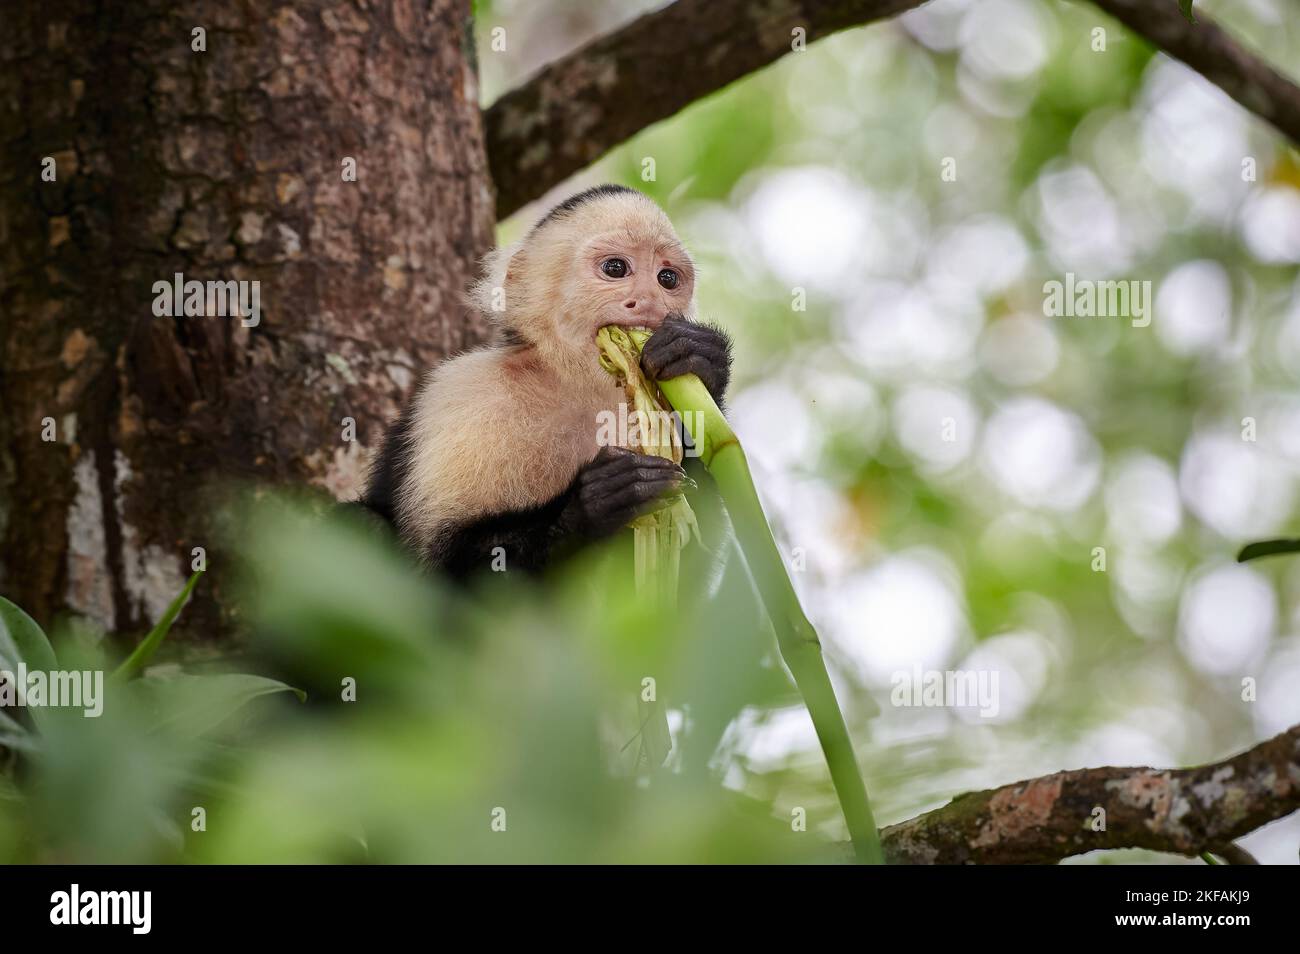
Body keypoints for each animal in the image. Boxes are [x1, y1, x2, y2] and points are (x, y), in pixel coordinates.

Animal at [354, 184, 733, 582]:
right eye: (616, 268)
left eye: (667, 279)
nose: (649, 302)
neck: (575, 383)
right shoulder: (464, 394)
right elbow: (443, 568)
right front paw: (592, 504)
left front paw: (702, 360)